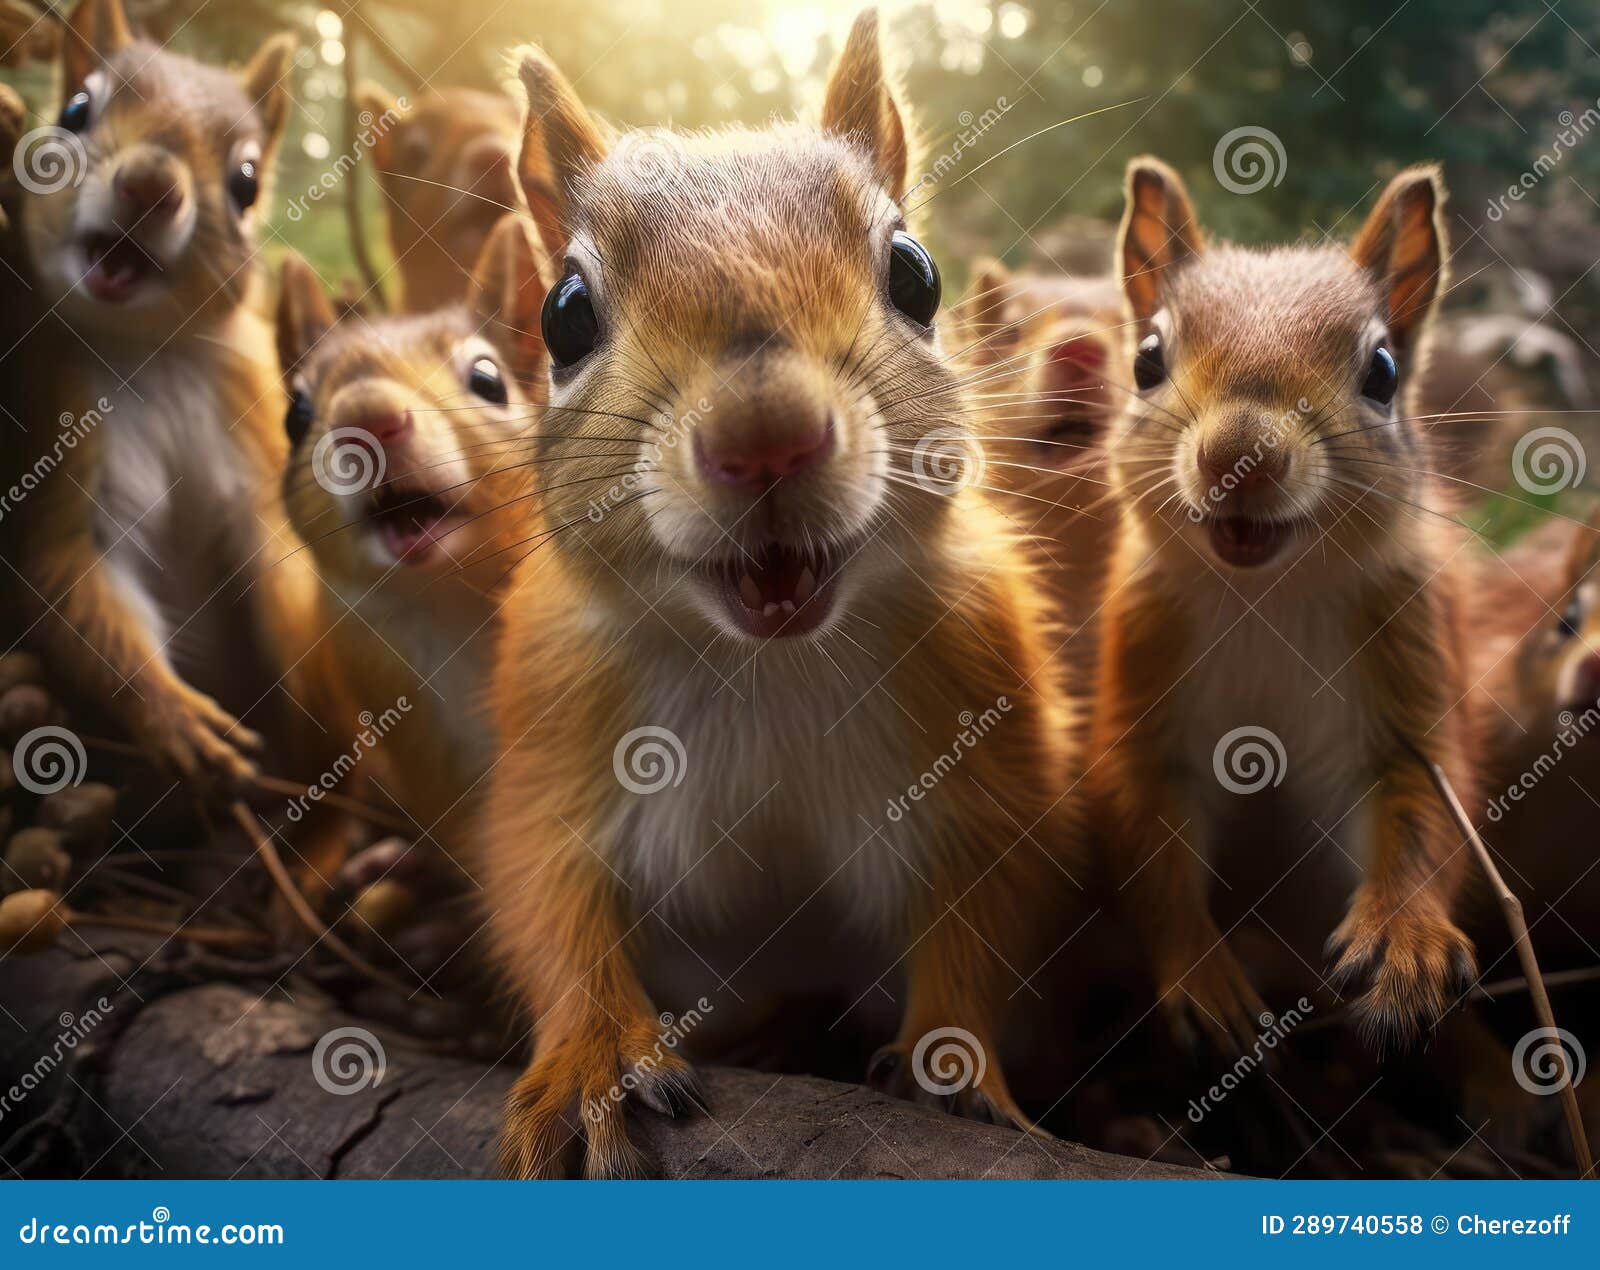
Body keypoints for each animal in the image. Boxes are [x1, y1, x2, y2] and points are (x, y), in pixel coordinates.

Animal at [481, 9, 1079, 1177]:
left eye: (916, 275)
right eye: (564, 316)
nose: (766, 438)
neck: (766, 660)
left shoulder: (986, 739)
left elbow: (983, 913)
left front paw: (958, 1074)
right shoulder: (552, 739)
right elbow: (550, 903)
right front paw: (591, 1068)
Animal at [1088, 156, 1479, 1052]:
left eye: (1383, 373)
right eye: (1147, 360)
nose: (1243, 457)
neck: (1267, 593)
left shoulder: (1410, 660)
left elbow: (1424, 813)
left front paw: (1403, 939)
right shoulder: (1144, 680)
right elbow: (1148, 840)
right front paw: (1203, 975)